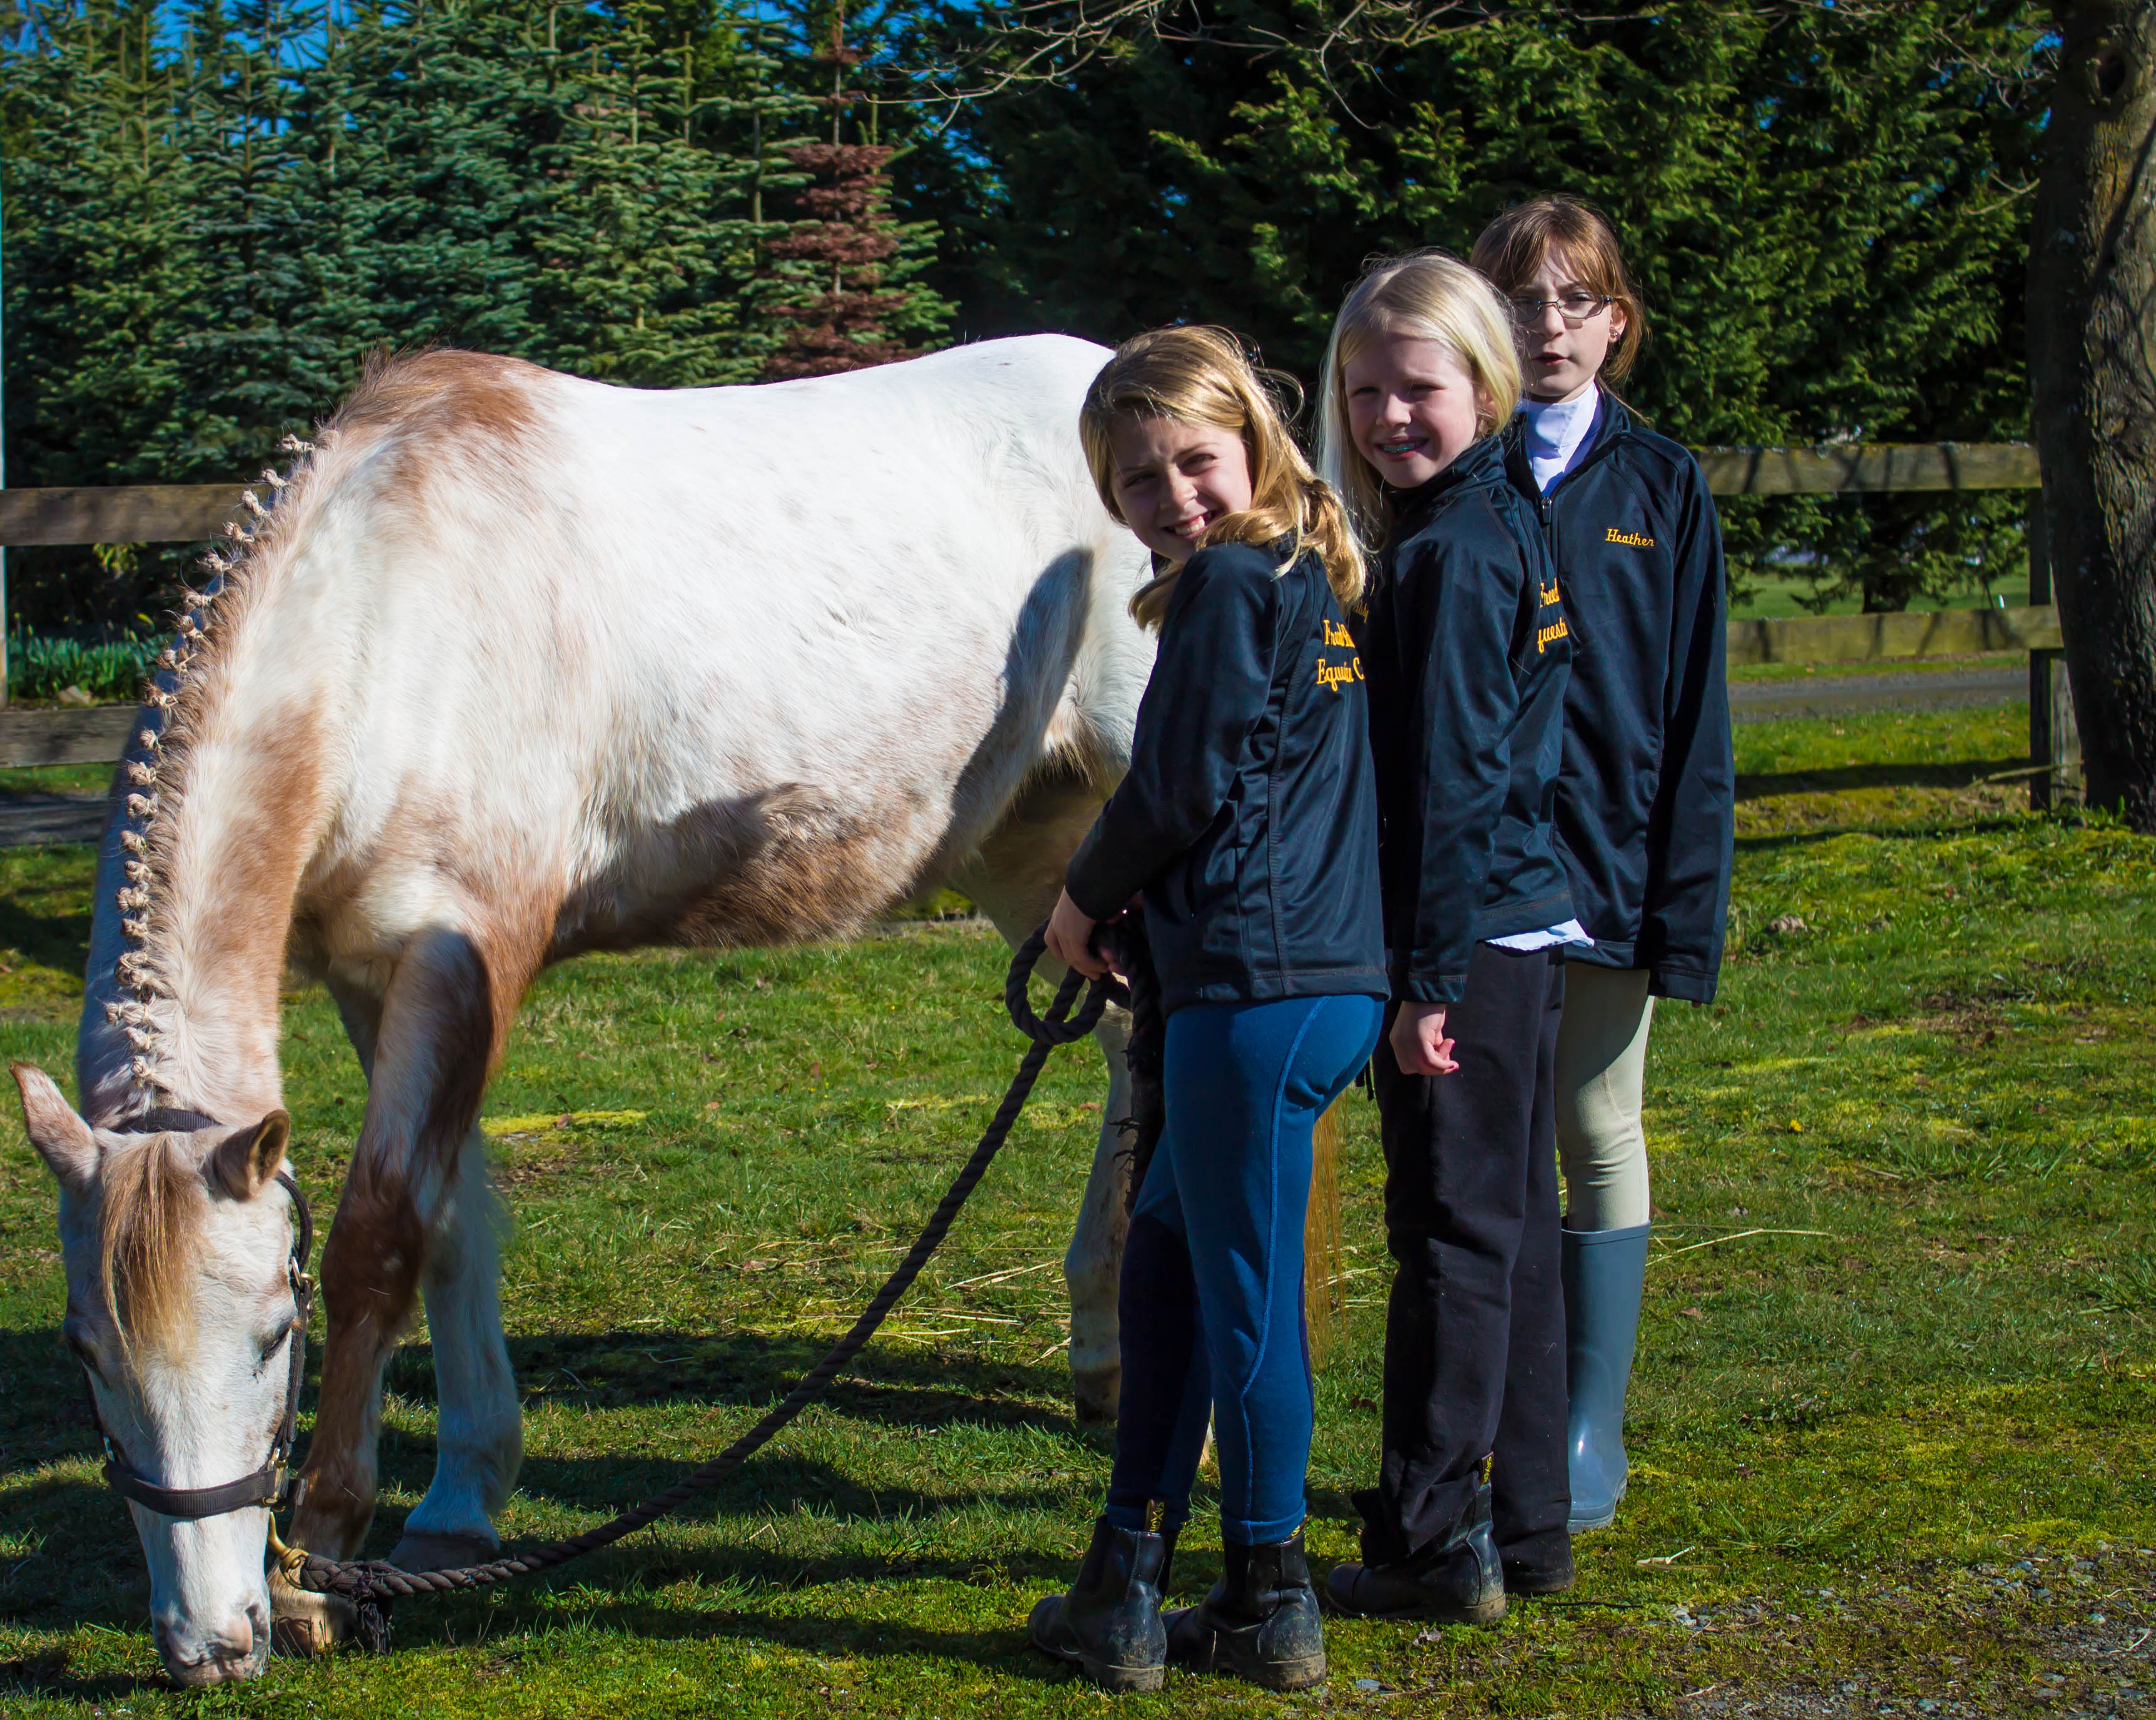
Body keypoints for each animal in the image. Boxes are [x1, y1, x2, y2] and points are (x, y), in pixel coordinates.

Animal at [12, 334, 1156, 1685]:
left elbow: (381, 1238)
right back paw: (1104, 1354)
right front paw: (459, 1506)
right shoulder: (374, 978)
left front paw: (325, 1567)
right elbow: (452, 1222)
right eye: (87, 1350)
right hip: (1032, 841)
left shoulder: (463, 962)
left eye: (274, 1333)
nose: (210, 1641)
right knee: (1130, 1043)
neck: (385, 619)